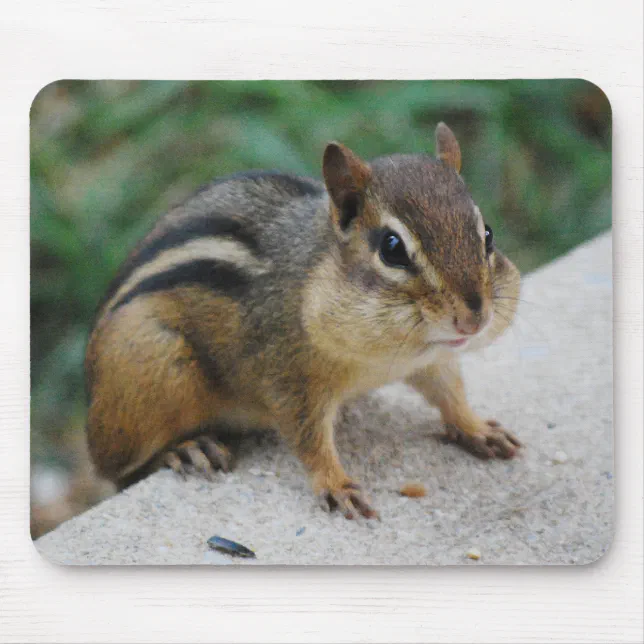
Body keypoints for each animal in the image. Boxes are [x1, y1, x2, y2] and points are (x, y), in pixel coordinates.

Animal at [85, 122, 521, 520]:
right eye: (392, 248)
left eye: (487, 234)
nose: (475, 317)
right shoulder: (288, 376)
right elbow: (308, 440)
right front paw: (337, 484)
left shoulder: (430, 360)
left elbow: (449, 391)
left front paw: (476, 427)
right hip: (152, 365)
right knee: (119, 467)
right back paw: (187, 449)